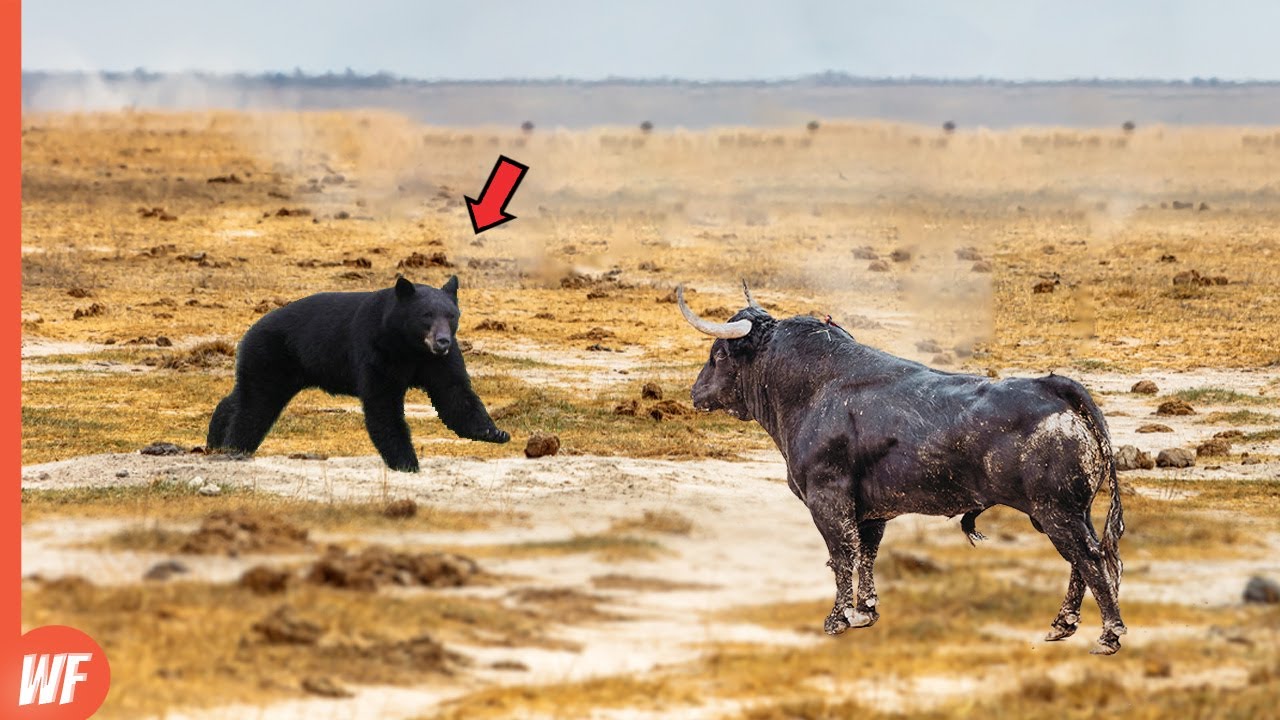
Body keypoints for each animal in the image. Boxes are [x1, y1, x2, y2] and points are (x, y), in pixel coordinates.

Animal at [207, 275, 510, 471]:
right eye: (426, 315)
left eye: (452, 316)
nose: (442, 341)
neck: (408, 346)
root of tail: (249, 331)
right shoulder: (376, 349)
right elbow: (382, 405)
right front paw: (406, 461)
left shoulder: (438, 361)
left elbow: (454, 393)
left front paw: (495, 432)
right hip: (272, 357)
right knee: (256, 405)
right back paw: (235, 447)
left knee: (241, 398)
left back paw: (215, 438)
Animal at [677, 283, 1126, 654]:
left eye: (718, 355)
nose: (695, 392)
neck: (811, 389)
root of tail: (1055, 386)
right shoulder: (871, 512)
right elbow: (867, 554)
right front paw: (866, 612)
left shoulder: (827, 500)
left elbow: (842, 555)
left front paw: (837, 619)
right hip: (1069, 513)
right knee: (1083, 561)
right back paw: (1062, 625)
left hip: (1056, 512)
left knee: (1091, 558)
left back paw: (1107, 635)